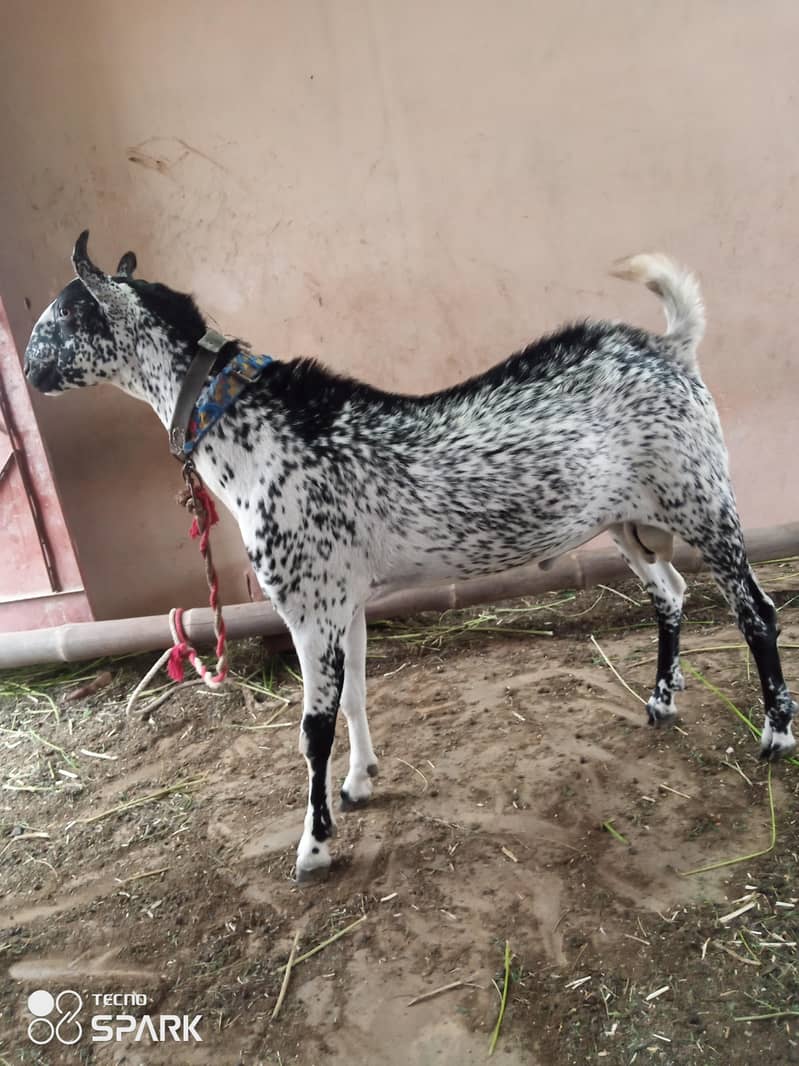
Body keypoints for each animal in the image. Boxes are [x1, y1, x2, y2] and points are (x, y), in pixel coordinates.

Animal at [24, 234, 796, 882]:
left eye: (57, 318)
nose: (30, 371)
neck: (253, 429)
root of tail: (671, 349)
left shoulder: (309, 604)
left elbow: (312, 727)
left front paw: (314, 846)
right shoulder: (344, 601)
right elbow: (357, 694)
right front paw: (358, 782)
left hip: (701, 499)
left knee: (755, 611)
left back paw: (775, 733)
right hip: (628, 521)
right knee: (669, 593)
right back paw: (661, 701)